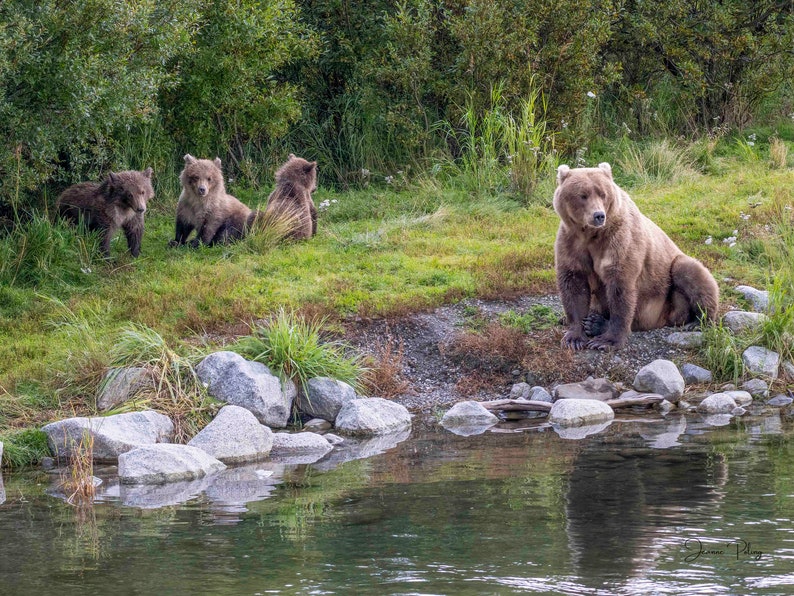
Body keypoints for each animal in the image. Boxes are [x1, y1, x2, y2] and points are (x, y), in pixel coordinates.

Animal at [553, 162, 719, 350]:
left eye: (603, 194)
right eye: (583, 195)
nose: (599, 215)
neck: (591, 235)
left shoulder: (619, 241)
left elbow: (620, 287)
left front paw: (606, 341)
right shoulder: (571, 242)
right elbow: (574, 284)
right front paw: (574, 337)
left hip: (667, 297)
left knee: (690, 273)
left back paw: (698, 321)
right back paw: (582, 321)